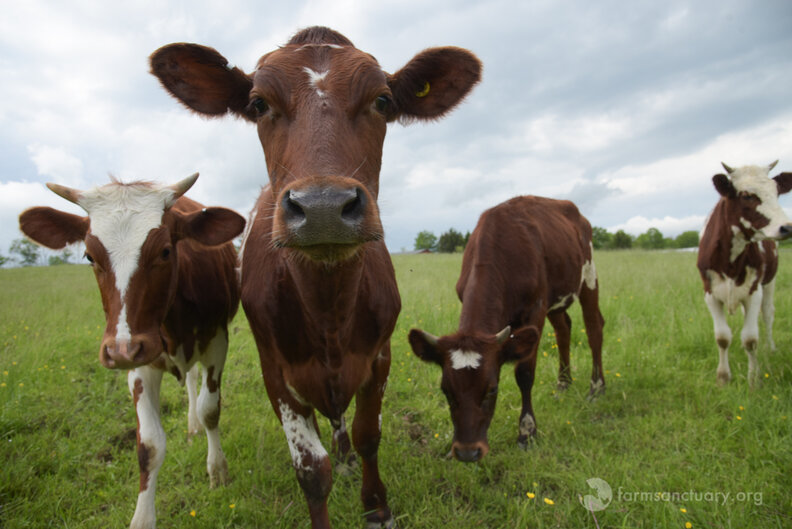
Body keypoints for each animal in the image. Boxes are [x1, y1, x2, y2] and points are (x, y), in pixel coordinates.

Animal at [18, 174, 246, 529]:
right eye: (89, 256)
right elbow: (149, 445)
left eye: (165, 251)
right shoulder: (139, 362)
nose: (119, 350)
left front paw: (217, 470)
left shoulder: (216, 341)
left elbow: (211, 409)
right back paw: (191, 425)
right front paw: (142, 517)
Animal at [149, 26, 481, 528]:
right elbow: (310, 468)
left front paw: (376, 507)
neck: (329, 307)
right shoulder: (275, 371)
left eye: (383, 100)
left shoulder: (378, 357)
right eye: (258, 104)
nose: (323, 206)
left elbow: (367, 435)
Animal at [408, 196, 605, 463]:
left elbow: (525, 373)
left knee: (594, 328)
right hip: (557, 298)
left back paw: (597, 387)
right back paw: (564, 383)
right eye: (446, 390)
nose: (467, 452)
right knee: (564, 329)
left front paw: (527, 432)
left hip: (588, 275)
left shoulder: (536, 309)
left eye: (492, 389)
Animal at [697, 161, 792, 386]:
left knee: (767, 314)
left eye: (777, 192)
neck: (729, 261)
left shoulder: (754, 291)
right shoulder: (710, 294)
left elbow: (750, 338)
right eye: (747, 195)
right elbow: (722, 337)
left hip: (770, 282)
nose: (786, 227)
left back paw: (770, 348)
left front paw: (754, 379)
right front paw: (723, 377)